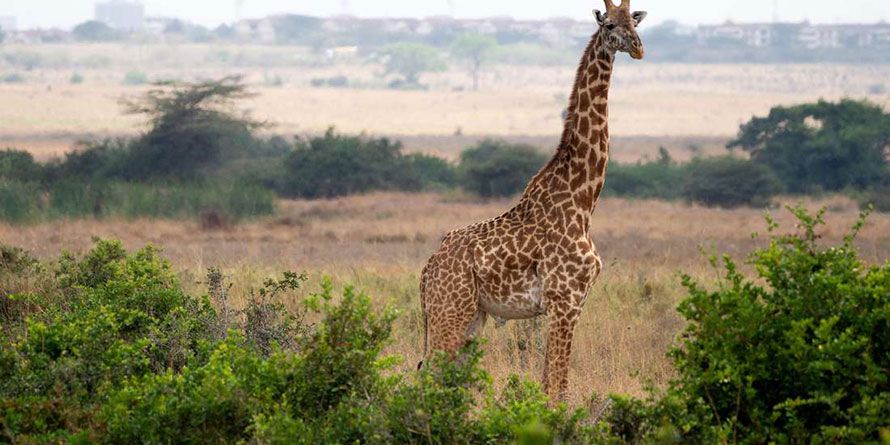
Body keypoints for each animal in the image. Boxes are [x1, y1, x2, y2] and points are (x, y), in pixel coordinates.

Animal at [418, 0, 647, 403]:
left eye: (634, 23)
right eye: (608, 25)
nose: (637, 48)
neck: (584, 200)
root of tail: (427, 269)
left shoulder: (573, 302)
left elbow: (550, 384)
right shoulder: (564, 301)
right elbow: (557, 388)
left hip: (471, 317)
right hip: (450, 312)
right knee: (426, 375)